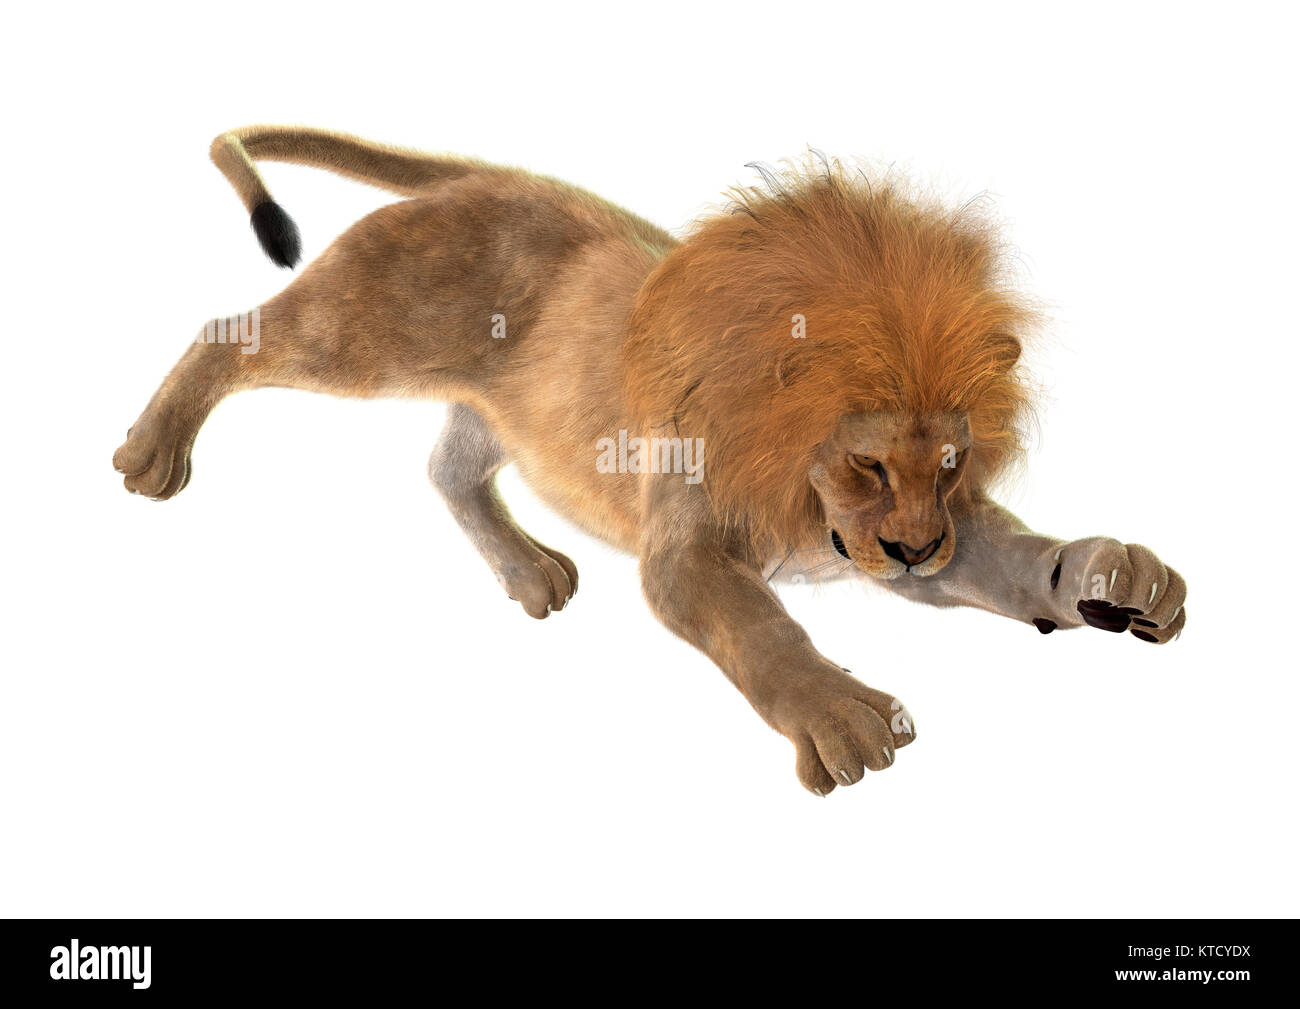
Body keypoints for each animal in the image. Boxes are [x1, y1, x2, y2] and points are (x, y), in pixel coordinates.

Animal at [114, 126, 1187, 795]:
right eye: (871, 464)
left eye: (954, 462)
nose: (920, 549)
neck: (795, 479)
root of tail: (482, 179)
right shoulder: (693, 546)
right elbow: (760, 629)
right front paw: (841, 715)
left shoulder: (912, 544)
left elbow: (1017, 561)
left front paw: (1119, 579)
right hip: (362, 333)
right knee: (231, 334)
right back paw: (152, 452)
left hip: (507, 410)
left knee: (450, 468)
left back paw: (530, 573)